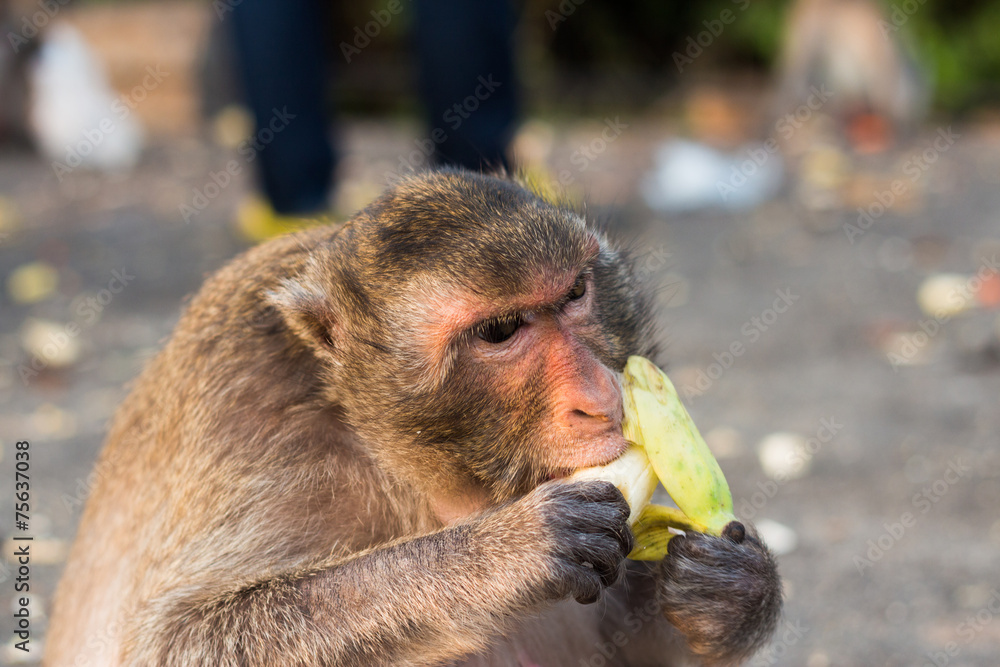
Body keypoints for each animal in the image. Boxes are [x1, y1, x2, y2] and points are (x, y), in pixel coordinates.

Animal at [46, 169, 781, 666]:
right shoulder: (248, 407)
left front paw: (734, 591)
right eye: (502, 330)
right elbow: (176, 638)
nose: (603, 396)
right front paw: (501, 554)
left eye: (575, 292)